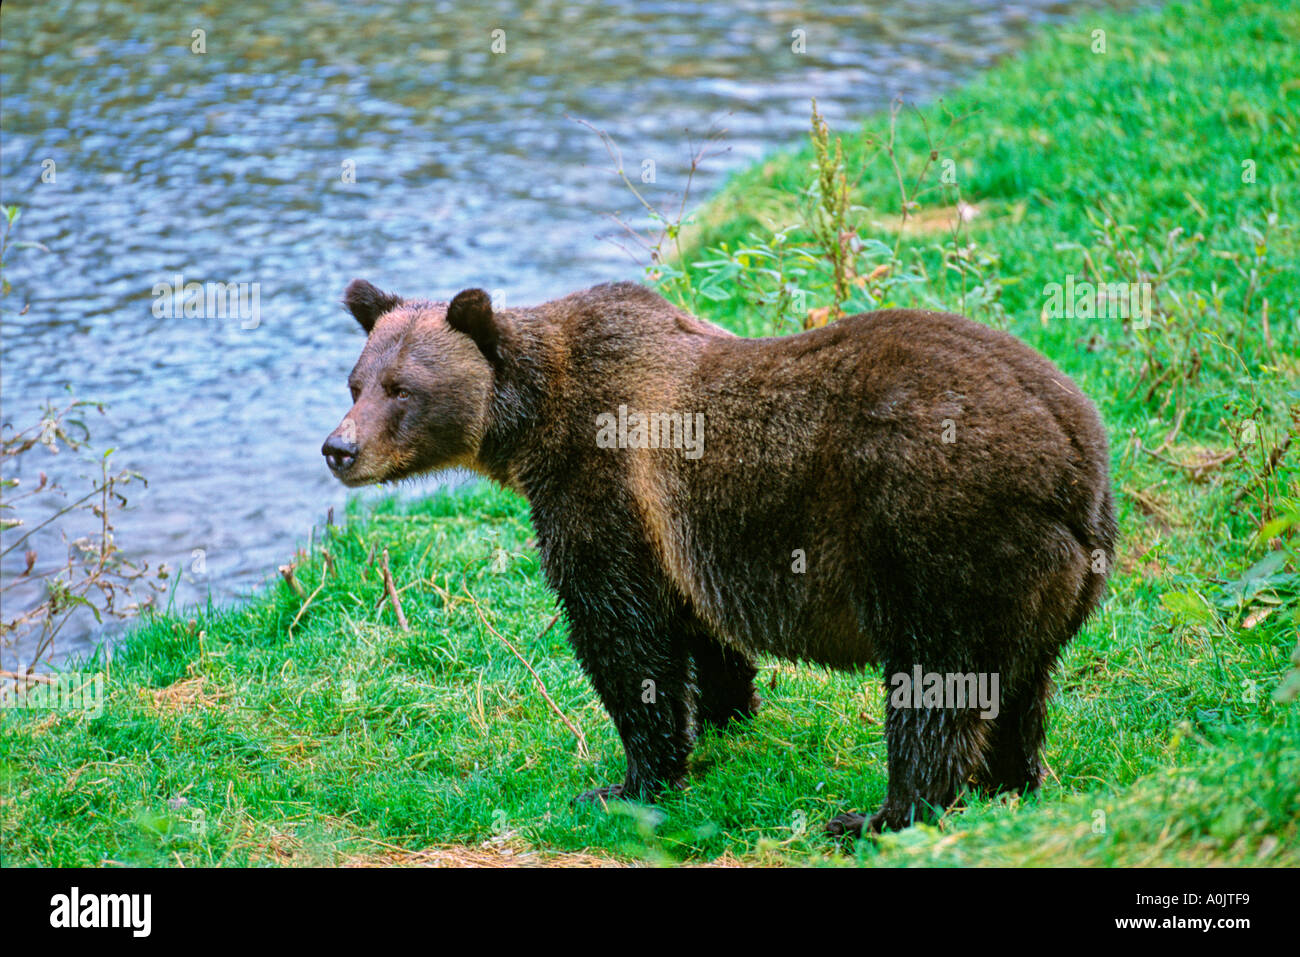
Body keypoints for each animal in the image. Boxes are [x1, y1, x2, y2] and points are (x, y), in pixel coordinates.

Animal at [323, 278, 1116, 835]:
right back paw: (1010, 780)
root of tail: (1075, 456)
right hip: (1049, 575)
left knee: (935, 683)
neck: (534, 425)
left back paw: (882, 814)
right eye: (356, 381)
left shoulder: (605, 487)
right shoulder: (681, 538)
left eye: (401, 388)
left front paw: (627, 779)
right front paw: (726, 716)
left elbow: (623, 639)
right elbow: (699, 631)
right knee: (1022, 681)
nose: (339, 447)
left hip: (934, 532)